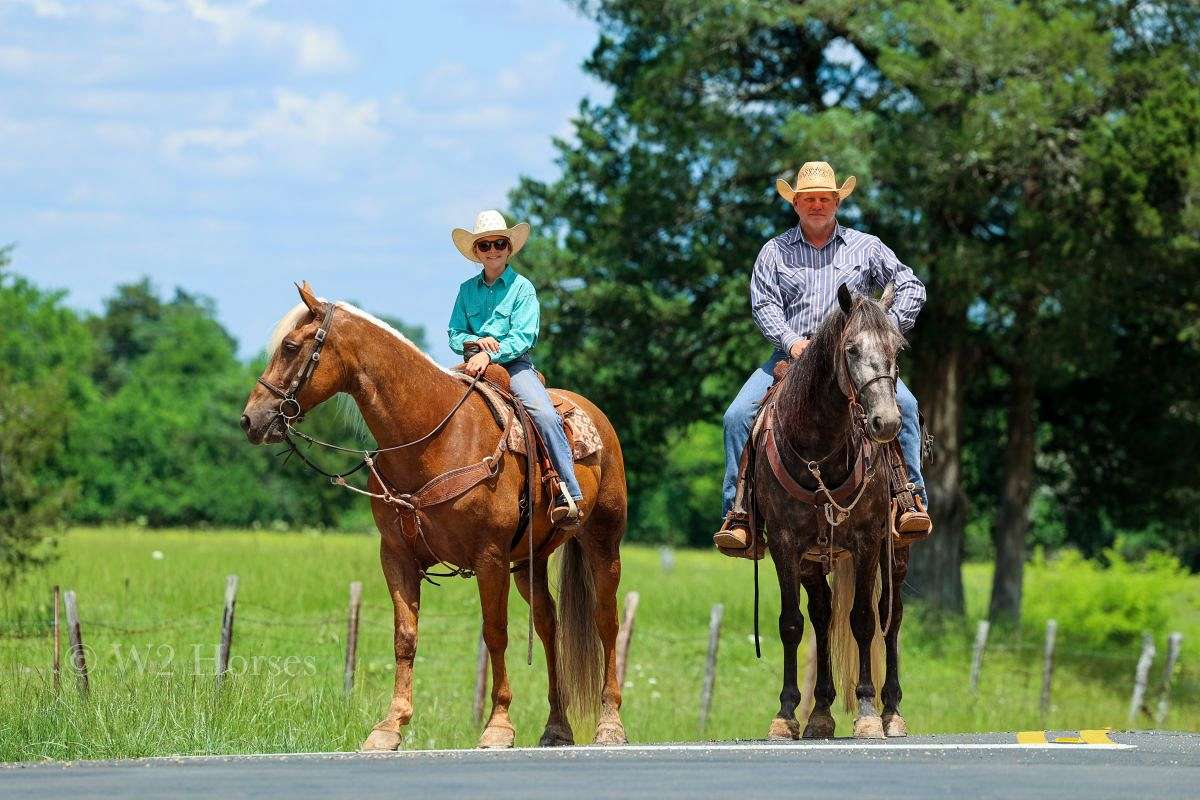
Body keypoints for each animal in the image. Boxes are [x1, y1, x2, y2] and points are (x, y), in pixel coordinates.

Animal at [240, 281, 629, 750]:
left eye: (291, 347)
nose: (251, 419)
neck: (435, 437)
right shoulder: (396, 556)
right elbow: (405, 636)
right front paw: (389, 725)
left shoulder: (489, 558)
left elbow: (495, 633)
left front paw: (498, 726)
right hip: (528, 563)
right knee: (547, 625)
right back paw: (556, 727)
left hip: (603, 542)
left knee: (606, 622)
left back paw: (610, 724)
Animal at [753, 283, 911, 740]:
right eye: (852, 348)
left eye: (898, 346)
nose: (885, 422)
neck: (819, 449)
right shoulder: (785, 545)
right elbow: (792, 623)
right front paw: (786, 713)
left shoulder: (866, 541)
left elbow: (863, 620)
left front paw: (868, 710)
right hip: (813, 559)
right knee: (822, 616)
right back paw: (820, 713)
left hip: (896, 553)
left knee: (890, 616)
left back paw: (892, 709)